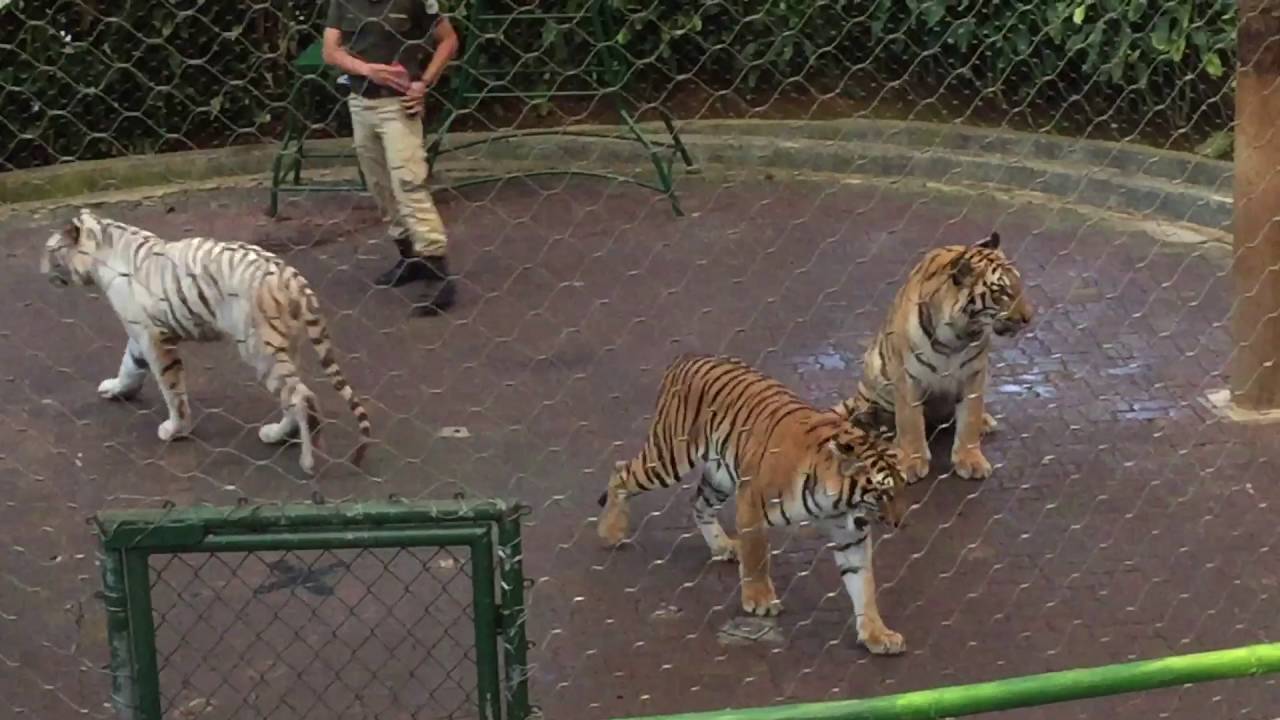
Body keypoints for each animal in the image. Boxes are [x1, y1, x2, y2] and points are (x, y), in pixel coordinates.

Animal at [40, 208, 372, 475]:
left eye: (50, 251)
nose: (40, 270)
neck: (104, 245)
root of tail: (288, 274)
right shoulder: (138, 335)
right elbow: (129, 366)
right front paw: (117, 389)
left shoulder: (153, 338)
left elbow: (172, 389)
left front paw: (175, 429)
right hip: (284, 345)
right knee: (295, 394)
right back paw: (279, 434)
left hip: (258, 350)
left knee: (302, 396)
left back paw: (305, 460)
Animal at [596, 353, 908, 655]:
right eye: (882, 493)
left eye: (901, 488)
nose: (898, 523)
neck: (837, 501)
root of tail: (686, 359)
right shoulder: (752, 504)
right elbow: (757, 556)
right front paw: (760, 600)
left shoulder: (850, 535)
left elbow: (863, 584)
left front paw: (877, 635)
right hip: (669, 457)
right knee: (621, 472)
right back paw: (611, 532)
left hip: (719, 476)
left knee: (698, 504)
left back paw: (722, 546)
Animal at [835, 231, 1033, 485]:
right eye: (1002, 293)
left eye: (1019, 286)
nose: (1029, 318)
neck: (958, 335)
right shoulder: (907, 377)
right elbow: (910, 420)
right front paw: (911, 462)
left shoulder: (974, 374)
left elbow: (970, 417)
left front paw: (971, 460)